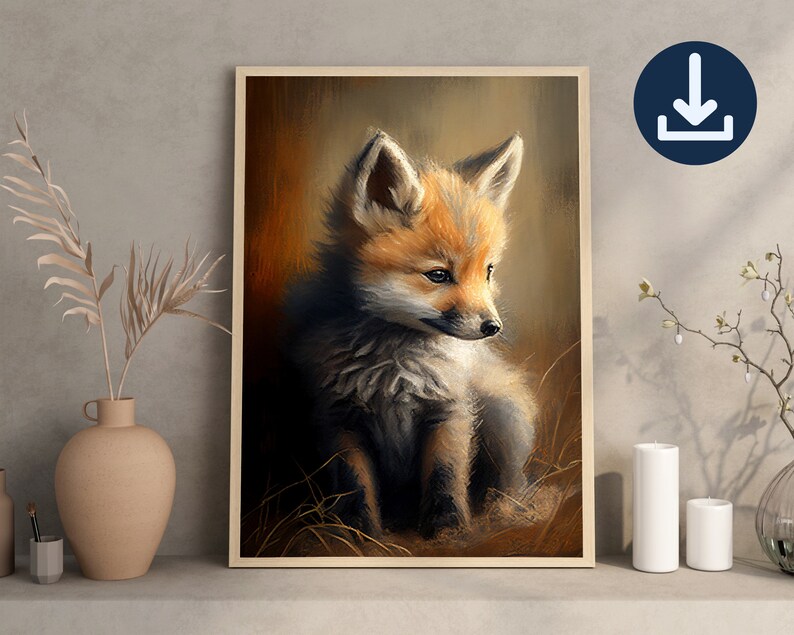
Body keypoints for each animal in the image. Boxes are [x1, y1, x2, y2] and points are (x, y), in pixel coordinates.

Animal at [287, 130, 536, 539]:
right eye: (438, 275)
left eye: (488, 271)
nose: (492, 327)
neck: (393, 369)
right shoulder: (340, 416)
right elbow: (355, 484)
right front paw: (358, 535)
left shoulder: (449, 409)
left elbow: (445, 475)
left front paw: (448, 530)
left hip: (506, 416)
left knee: (508, 482)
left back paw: (503, 512)